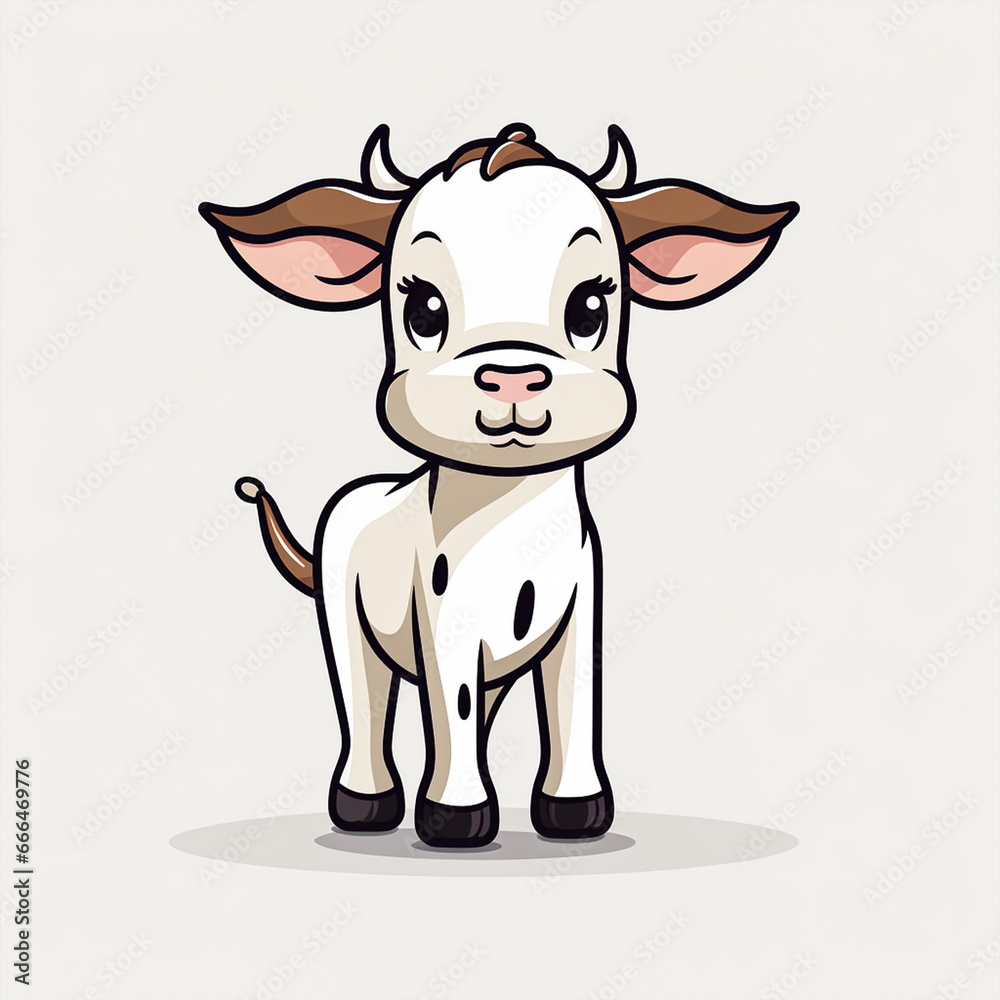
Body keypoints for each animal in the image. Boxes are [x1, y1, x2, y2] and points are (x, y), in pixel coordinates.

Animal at [200, 123, 798, 848]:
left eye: (591, 305)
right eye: (424, 307)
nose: (513, 376)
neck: (512, 525)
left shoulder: (579, 613)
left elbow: (573, 710)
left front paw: (574, 812)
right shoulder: (446, 625)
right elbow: (449, 711)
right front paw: (455, 819)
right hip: (343, 614)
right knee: (366, 701)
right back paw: (368, 805)